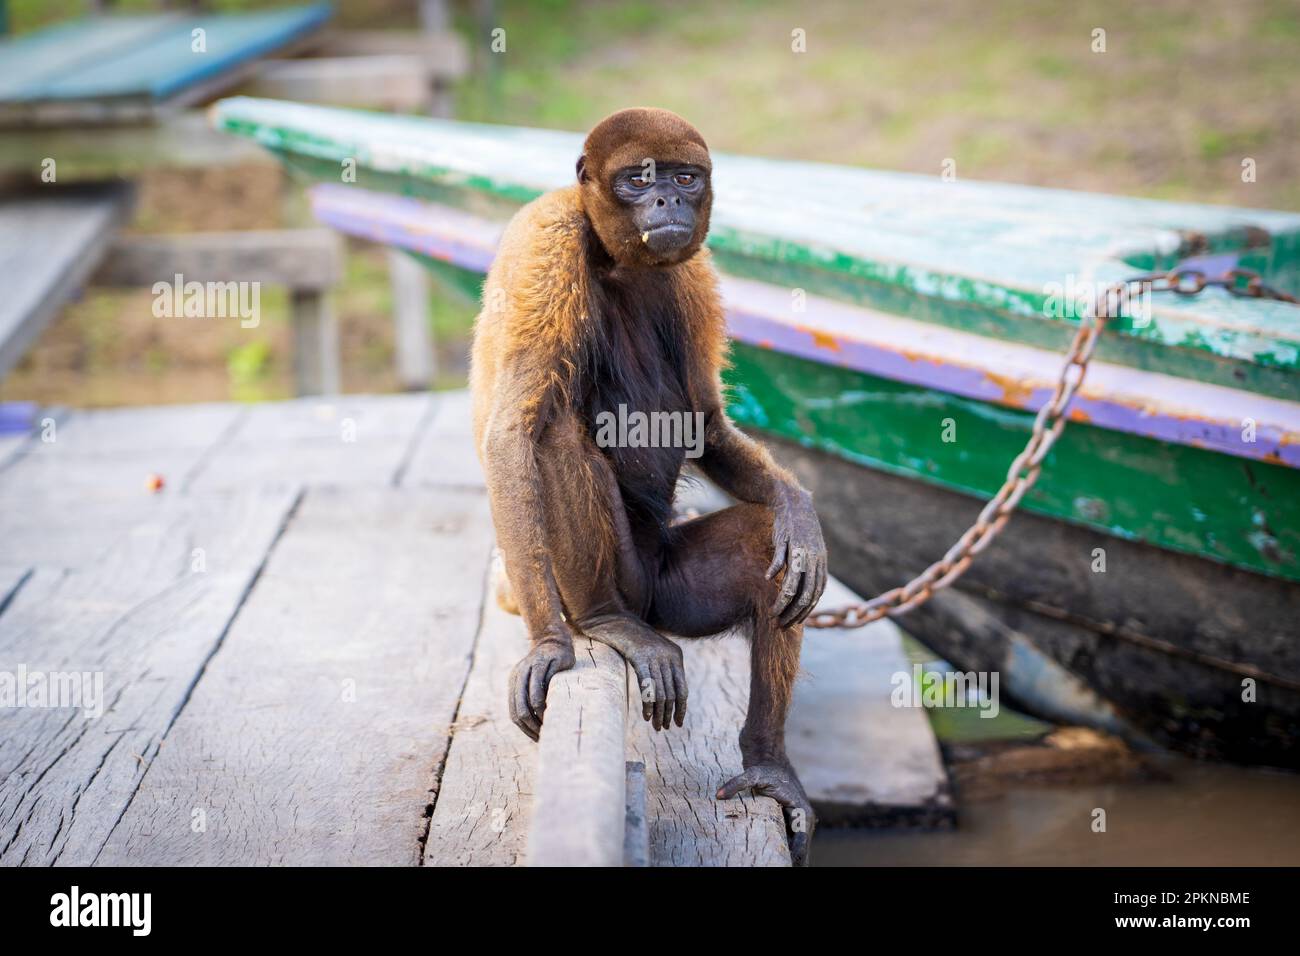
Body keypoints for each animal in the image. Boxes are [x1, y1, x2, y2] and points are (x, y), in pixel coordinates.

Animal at [470, 108, 827, 864]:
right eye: (639, 179)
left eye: (685, 178)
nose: (666, 200)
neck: (617, 259)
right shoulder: (549, 238)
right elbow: (513, 436)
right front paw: (548, 649)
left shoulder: (691, 269)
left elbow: (710, 425)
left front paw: (798, 507)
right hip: (605, 577)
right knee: (553, 428)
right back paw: (604, 620)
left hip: (668, 590)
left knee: (770, 560)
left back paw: (768, 768)